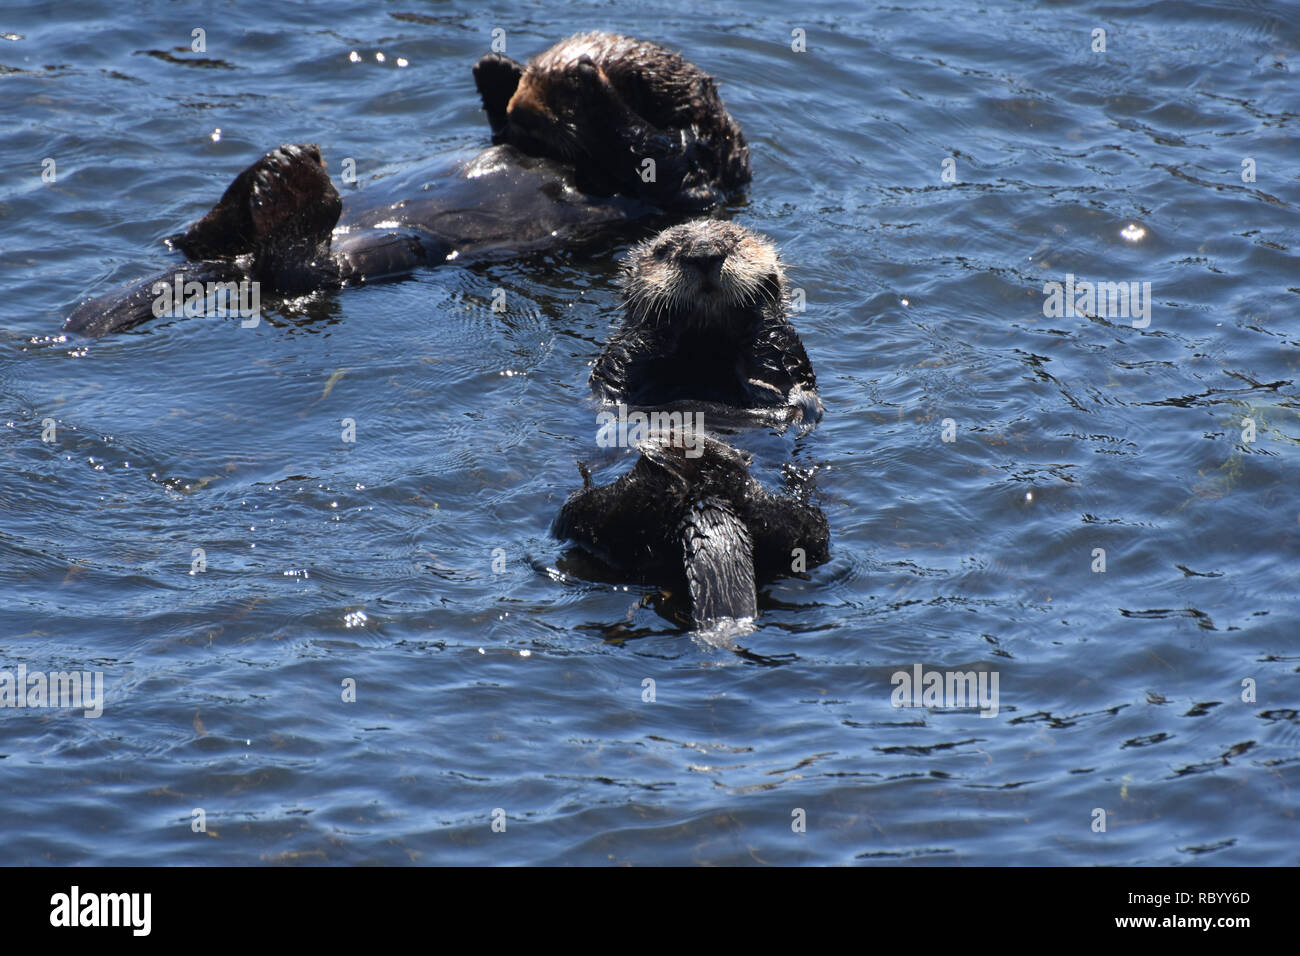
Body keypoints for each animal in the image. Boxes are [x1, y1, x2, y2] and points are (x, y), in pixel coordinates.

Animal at [64, 32, 750, 337]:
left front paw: (581, 75)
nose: (530, 99)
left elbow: (658, 154)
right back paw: (266, 176)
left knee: (295, 269)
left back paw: (288, 188)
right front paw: (500, 70)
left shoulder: (688, 182)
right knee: (198, 242)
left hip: (385, 251)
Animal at [589, 220, 823, 427]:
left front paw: (761, 295)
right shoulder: (616, 381)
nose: (703, 255)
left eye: (736, 241)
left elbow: (785, 373)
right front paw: (664, 310)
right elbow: (616, 372)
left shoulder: (789, 380)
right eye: (662, 250)